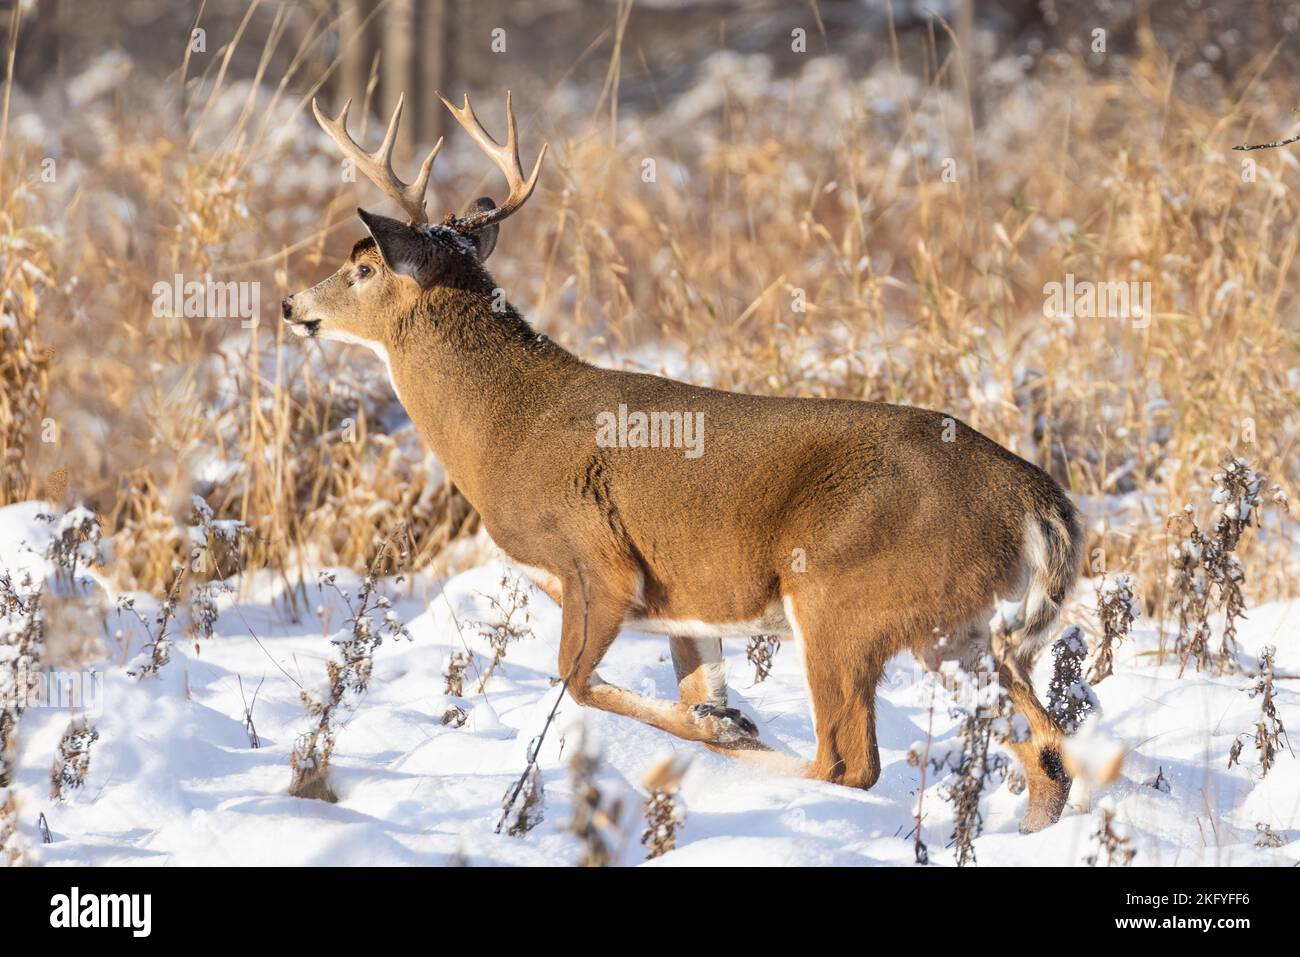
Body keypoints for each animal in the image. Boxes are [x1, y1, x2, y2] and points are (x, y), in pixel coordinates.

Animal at [282, 90, 1085, 833]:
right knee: (1047, 749)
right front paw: (719, 719)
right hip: (966, 633)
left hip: (841, 595)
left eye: (362, 267)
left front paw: (725, 727)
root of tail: (1036, 500)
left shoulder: (598, 561)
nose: (291, 304)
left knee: (849, 759)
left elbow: (575, 680)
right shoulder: (686, 605)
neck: (503, 431)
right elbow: (690, 685)